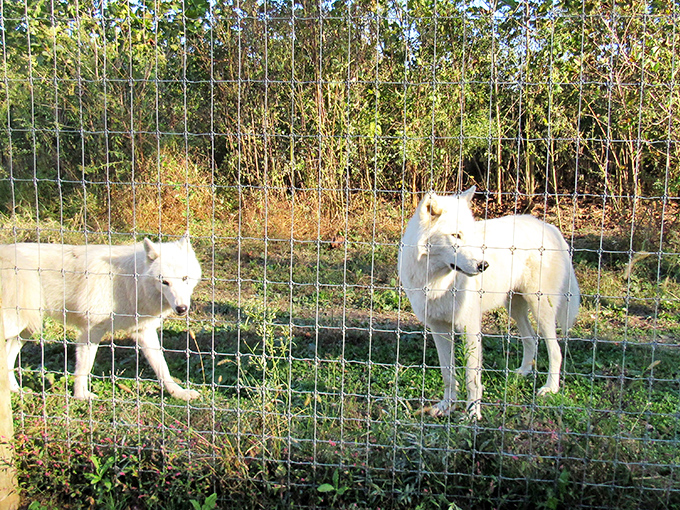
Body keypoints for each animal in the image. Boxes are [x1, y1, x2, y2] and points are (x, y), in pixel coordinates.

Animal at [0, 235, 202, 401]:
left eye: (185, 278)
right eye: (164, 282)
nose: (181, 308)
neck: (130, 283)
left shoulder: (143, 331)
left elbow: (162, 368)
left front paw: (179, 394)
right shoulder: (91, 330)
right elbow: (84, 366)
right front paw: (81, 396)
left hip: (28, 329)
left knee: (9, 355)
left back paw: (15, 390)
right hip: (17, 324)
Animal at [398, 187, 579, 419]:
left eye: (471, 236)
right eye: (456, 236)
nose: (484, 265)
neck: (436, 281)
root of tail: (550, 228)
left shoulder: (470, 328)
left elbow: (471, 377)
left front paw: (472, 414)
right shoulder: (438, 328)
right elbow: (448, 373)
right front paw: (447, 407)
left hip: (541, 310)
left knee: (555, 350)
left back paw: (550, 389)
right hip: (514, 308)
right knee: (531, 339)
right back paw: (522, 373)